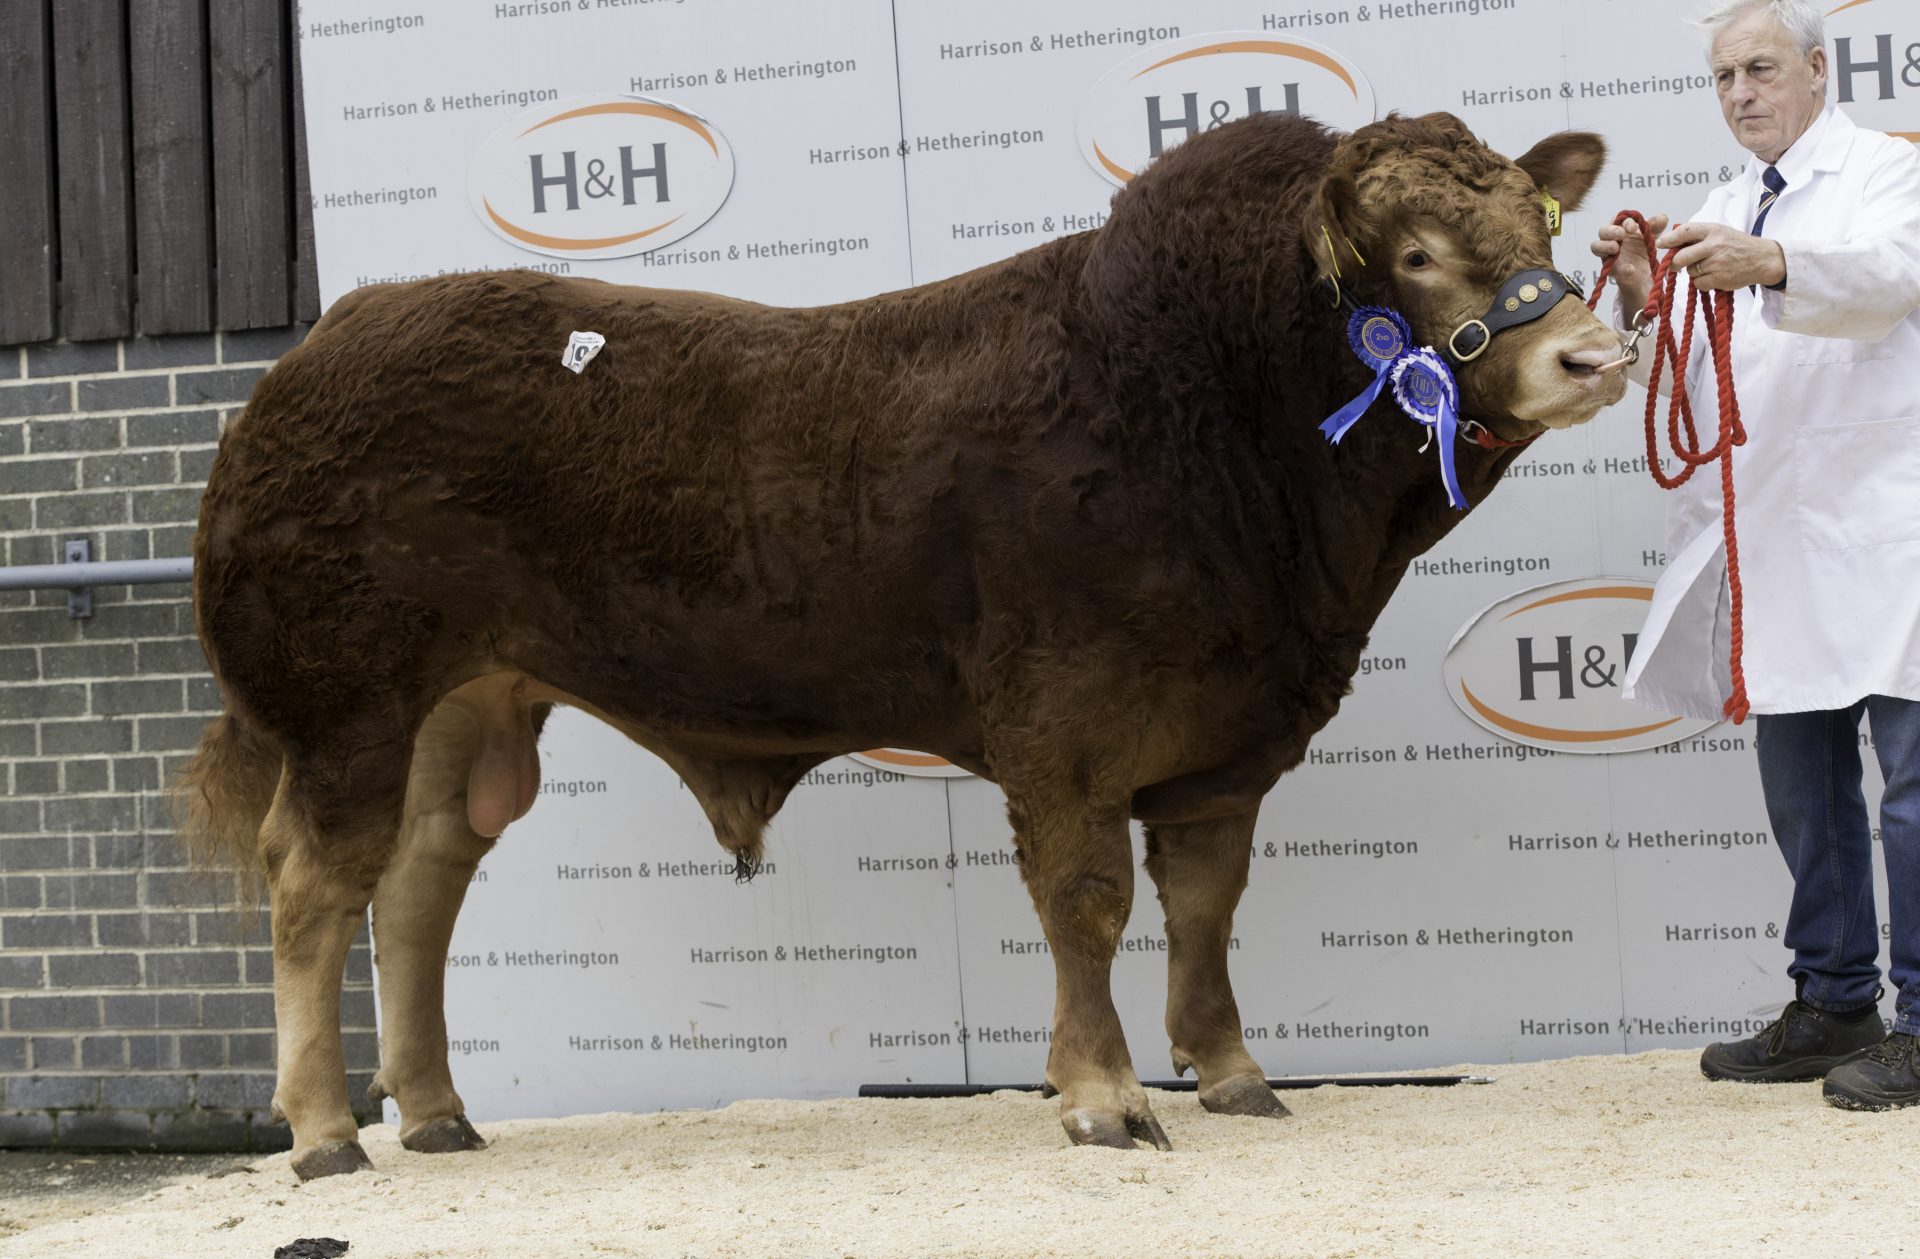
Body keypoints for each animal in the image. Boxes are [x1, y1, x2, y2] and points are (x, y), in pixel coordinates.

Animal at [178, 110, 1625, 1179]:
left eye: (1538, 223)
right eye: (1417, 253)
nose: (1594, 352)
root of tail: (324, 344)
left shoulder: (1226, 739)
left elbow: (1208, 906)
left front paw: (1232, 1073)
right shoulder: (1065, 717)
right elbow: (1086, 899)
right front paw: (1104, 1096)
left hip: (466, 705)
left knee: (419, 884)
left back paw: (433, 1112)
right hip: (344, 705)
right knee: (314, 885)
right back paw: (325, 1134)